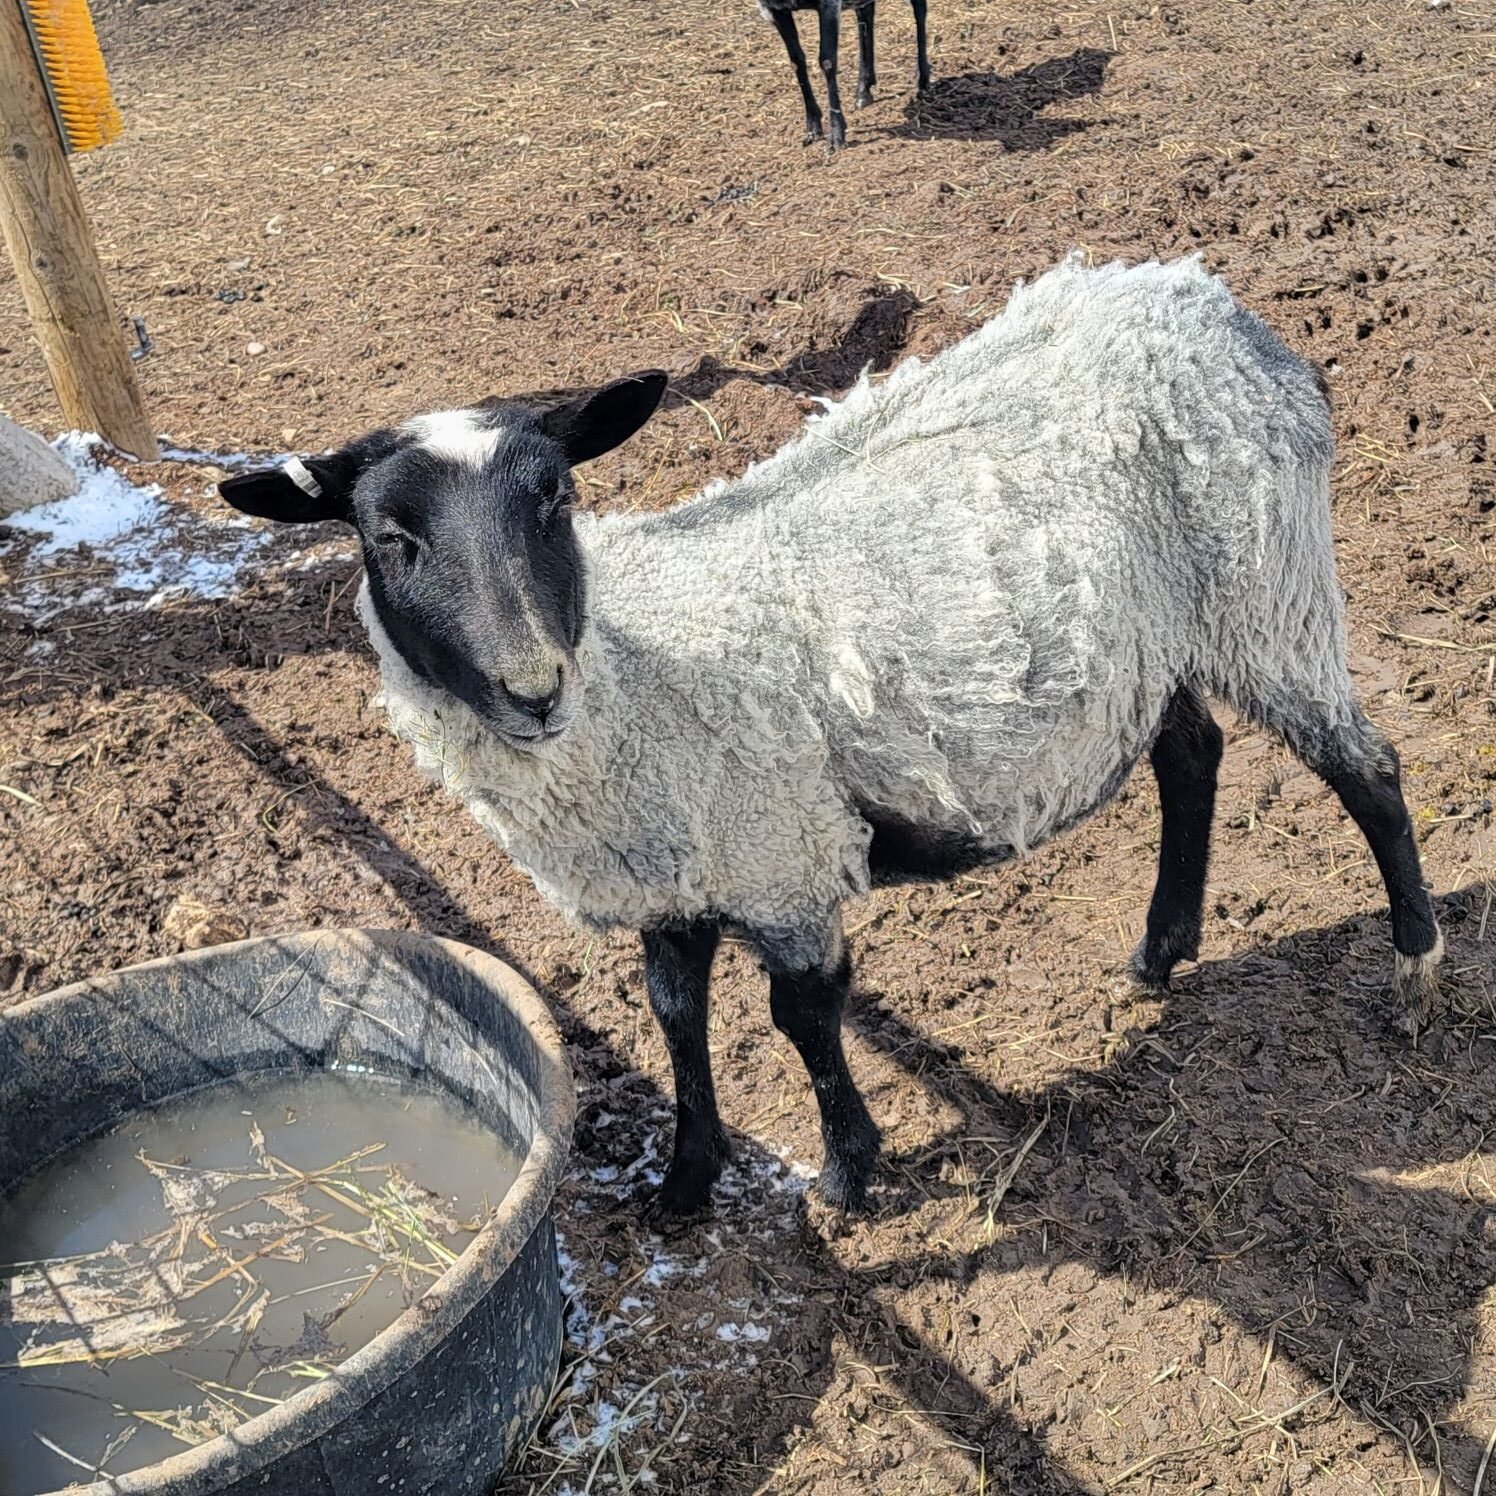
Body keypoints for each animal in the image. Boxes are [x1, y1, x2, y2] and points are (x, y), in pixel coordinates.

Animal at [220, 254, 1444, 1218]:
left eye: (556, 496)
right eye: (389, 536)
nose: (533, 686)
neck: (636, 677)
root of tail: (1203, 301)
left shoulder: (783, 856)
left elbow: (799, 1014)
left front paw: (849, 1175)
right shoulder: (677, 876)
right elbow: (675, 1015)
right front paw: (686, 1181)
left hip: (1267, 586)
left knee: (1366, 768)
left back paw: (1414, 959)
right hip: (1159, 637)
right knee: (1191, 757)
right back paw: (1159, 950)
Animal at [761, 0, 931, 150]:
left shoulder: (829, 5)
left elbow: (827, 61)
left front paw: (836, 136)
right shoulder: (775, 10)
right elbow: (796, 62)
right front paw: (813, 129)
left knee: (920, 9)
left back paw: (922, 82)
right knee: (865, 12)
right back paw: (863, 91)